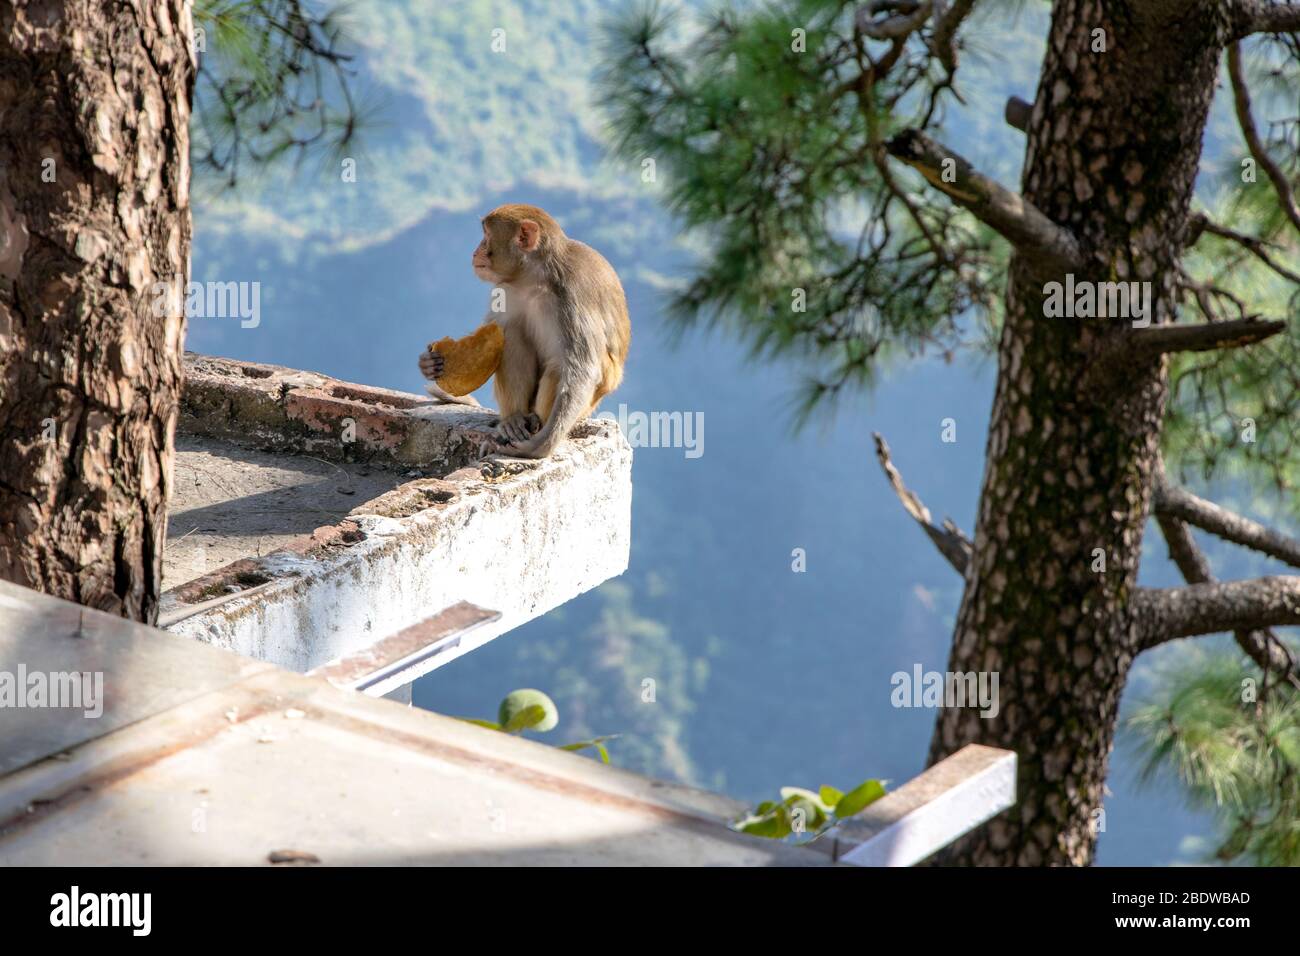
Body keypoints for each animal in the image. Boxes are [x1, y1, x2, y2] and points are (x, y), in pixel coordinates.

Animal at [418, 204, 630, 459]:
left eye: (486, 235)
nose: (475, 251)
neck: (536, 279)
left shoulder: (573, 294)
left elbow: (583, 370)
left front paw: (542, 445)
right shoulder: (506, 290)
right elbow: (491, 331)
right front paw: (429, 362)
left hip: (592, 401)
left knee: (560, 367)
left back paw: (536, 423)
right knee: (510, 334)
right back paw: (513, 420)